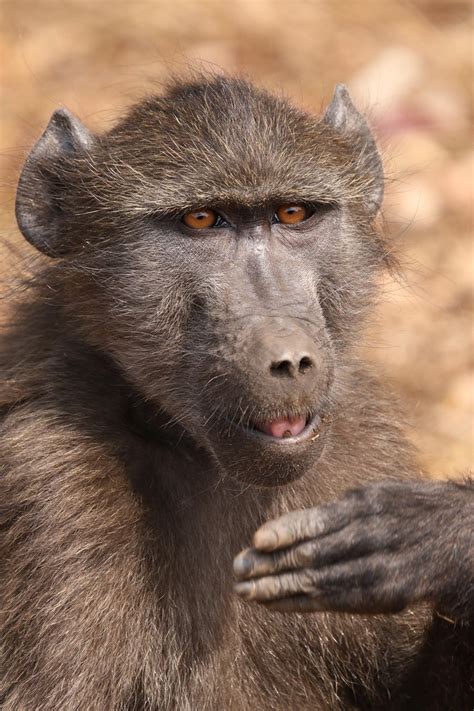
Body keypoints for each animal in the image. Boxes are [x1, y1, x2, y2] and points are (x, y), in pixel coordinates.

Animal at [1, 76, 473, 710]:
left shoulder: (359, 443)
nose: (290, 360)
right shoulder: (49, 487)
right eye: (202, 220)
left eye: (293, 214)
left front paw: (436, 535)